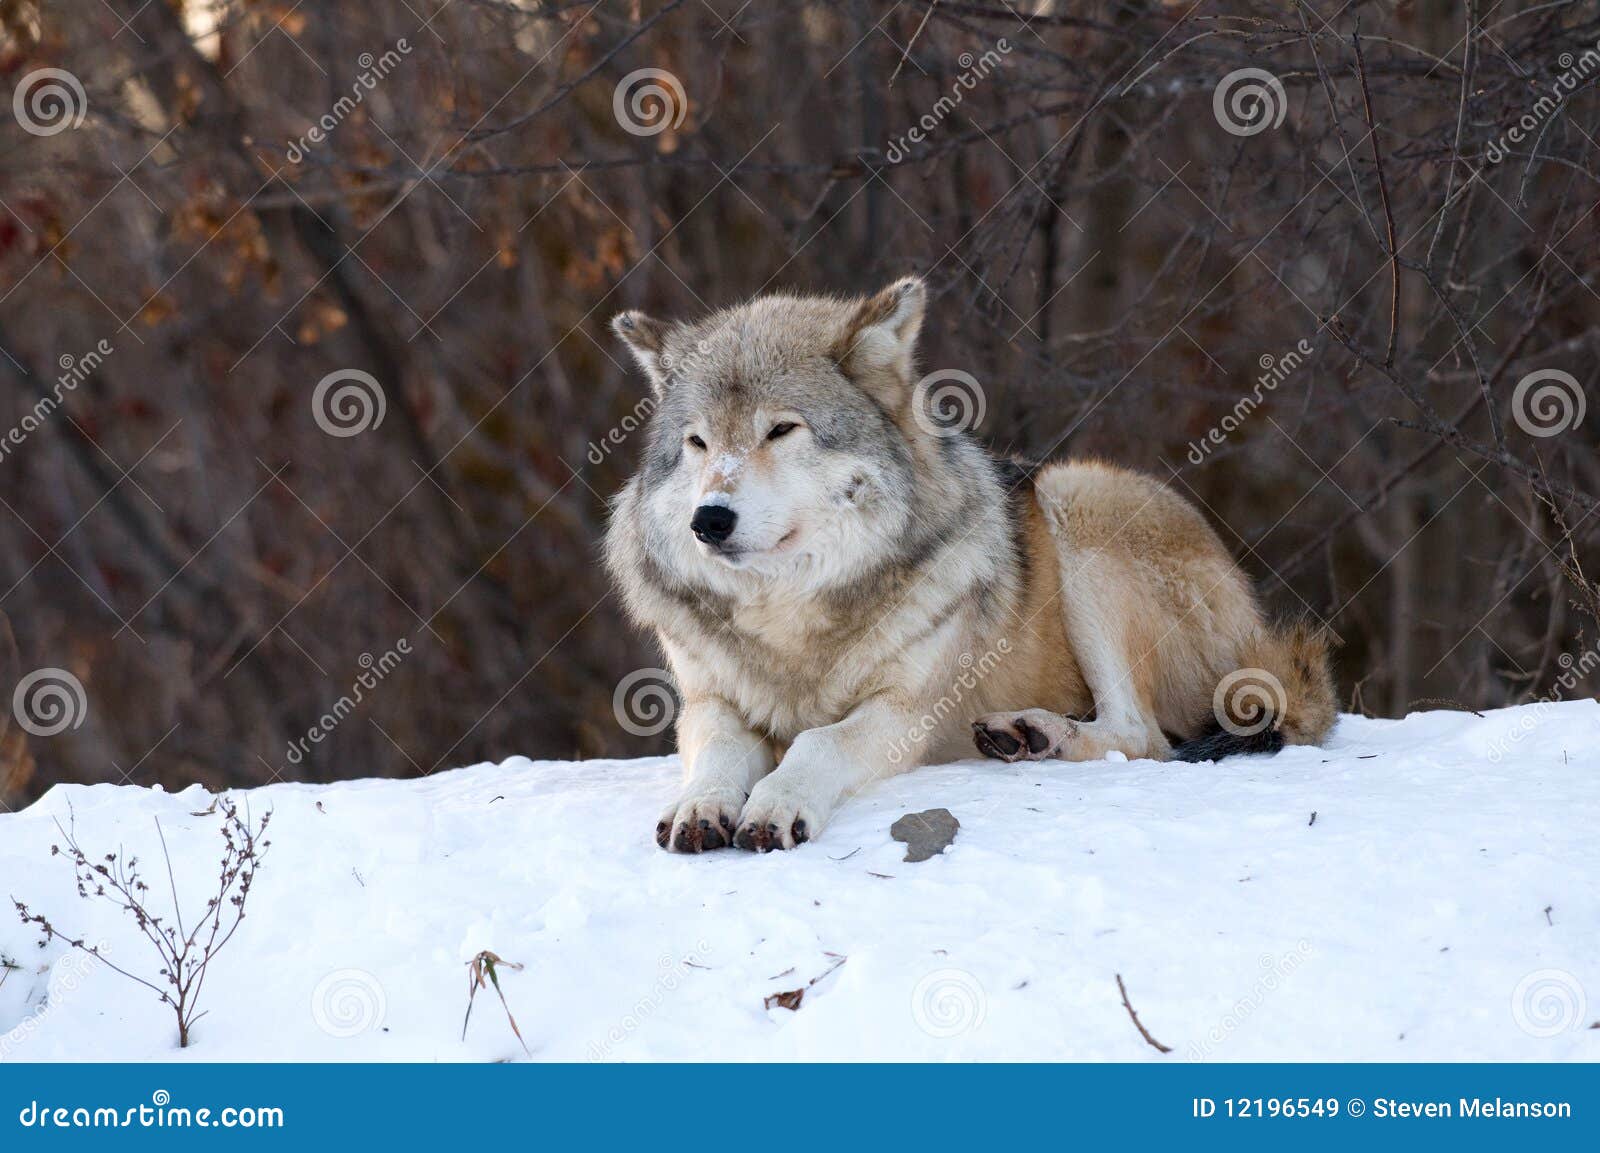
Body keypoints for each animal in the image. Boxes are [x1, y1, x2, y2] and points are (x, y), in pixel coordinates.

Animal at [604, 275, 1336, 853]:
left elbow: (818, 742)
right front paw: (700, 807)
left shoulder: (904, 714)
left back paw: (1037, 733)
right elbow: (716, 755)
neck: (789, 616)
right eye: (697, 443)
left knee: (1144, 736)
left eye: (781, 430)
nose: (709, 519)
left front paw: (778, 804)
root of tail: (1259, 631)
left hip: (1077, 495)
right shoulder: (708, 704)